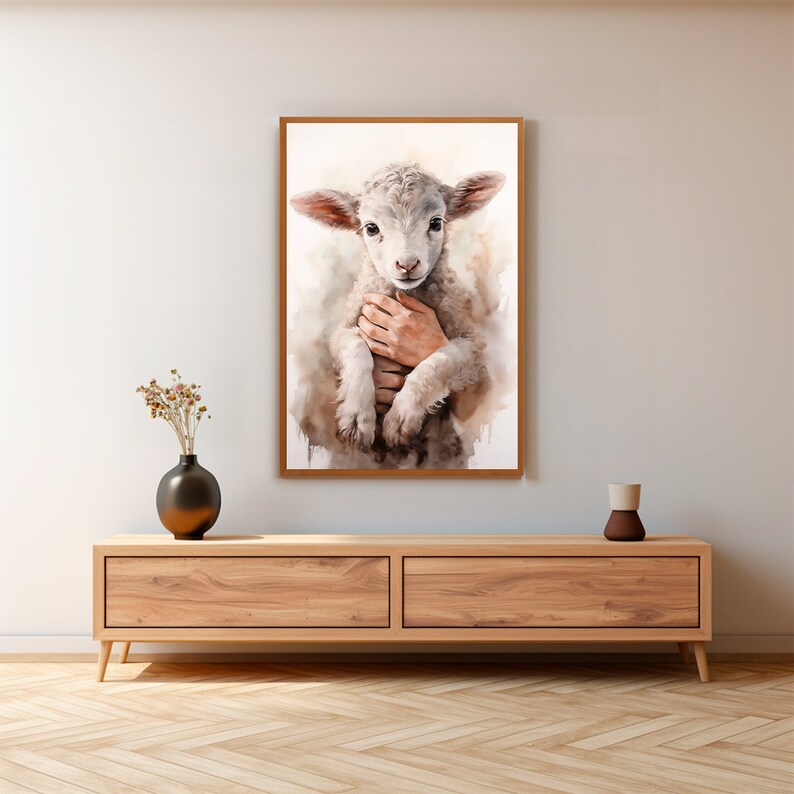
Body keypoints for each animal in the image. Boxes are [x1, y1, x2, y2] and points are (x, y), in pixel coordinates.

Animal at [290, 162, 505, 468]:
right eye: (371, 228)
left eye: (436, 223)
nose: (407, 264)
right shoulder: (343, 330)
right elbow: (356, 349)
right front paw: (356, 420)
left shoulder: (473, 347)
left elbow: (438, 362)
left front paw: (401, 419)